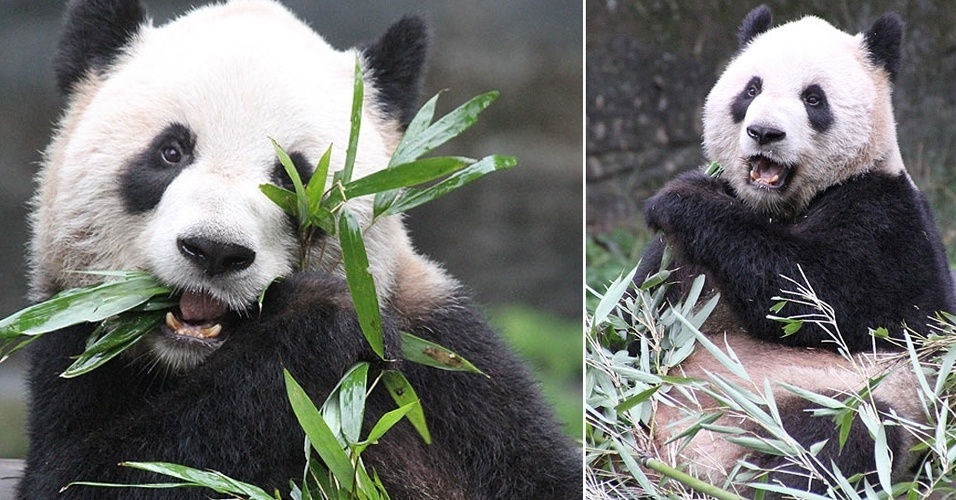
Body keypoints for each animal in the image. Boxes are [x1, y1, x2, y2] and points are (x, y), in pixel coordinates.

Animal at [17, 1, 581, 498]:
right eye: (170, 152)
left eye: (293, 178)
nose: (214, 250)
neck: (189, 360)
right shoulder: (72, 344)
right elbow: (101, 475)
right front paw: (319, 318)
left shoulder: (447, 371)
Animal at [634, 4, 954, 495]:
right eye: (751, 89)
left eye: (813, 99)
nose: (764, 132)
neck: (779, 208)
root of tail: (693, 463)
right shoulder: (679, 266)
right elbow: (636, 318)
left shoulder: (889, 219)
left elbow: (820, 297)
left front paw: (683, 198)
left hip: (829, 398)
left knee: (844, 432)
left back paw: (772, 480)